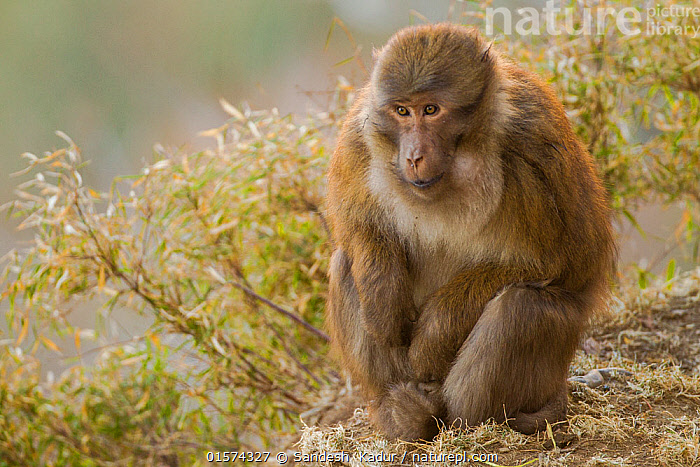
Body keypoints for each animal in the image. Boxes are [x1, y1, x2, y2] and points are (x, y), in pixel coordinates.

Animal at [325, 23, 615, 441]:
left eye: (431, 110)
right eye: (402, 111)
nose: (413, 155)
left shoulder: (532, 145)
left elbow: (557, 261)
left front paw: (432, 336)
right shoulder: (356, 138)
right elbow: (356, 225)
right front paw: (384, 306)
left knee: (522, 307)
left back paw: (463, 419)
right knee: (346, 263)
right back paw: (400, 411)